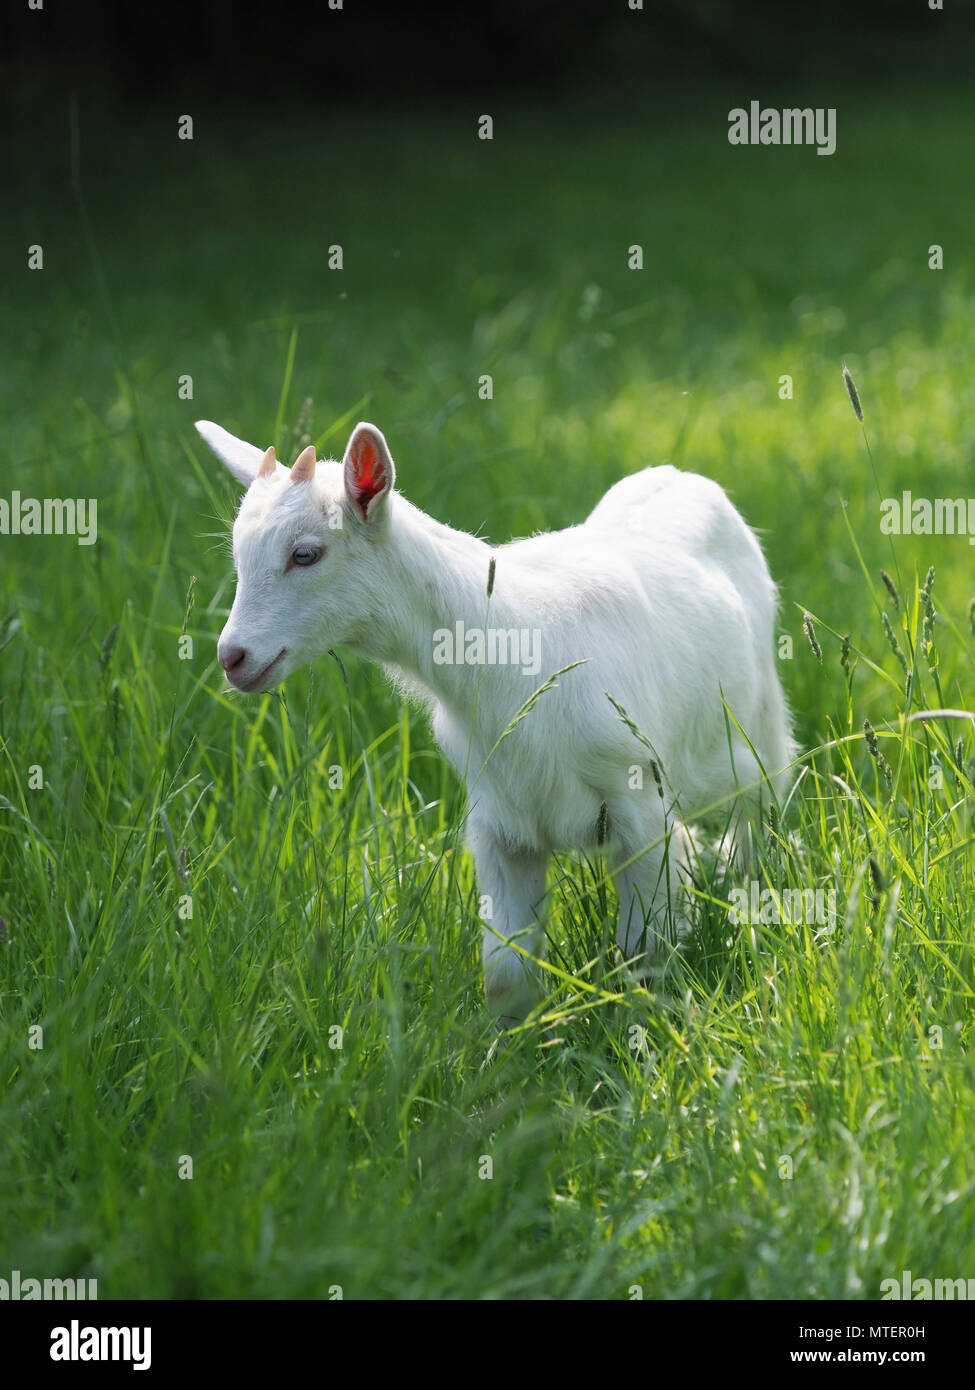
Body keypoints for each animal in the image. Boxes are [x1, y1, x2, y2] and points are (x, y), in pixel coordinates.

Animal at [197, 418, 794, 1017]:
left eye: (305, 554)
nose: (233, 657)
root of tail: (680, 475)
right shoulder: (502, 822)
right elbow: (507, 974)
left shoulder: (639, 805)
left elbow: (642, 956)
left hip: (759, 731)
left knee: (760, 824)